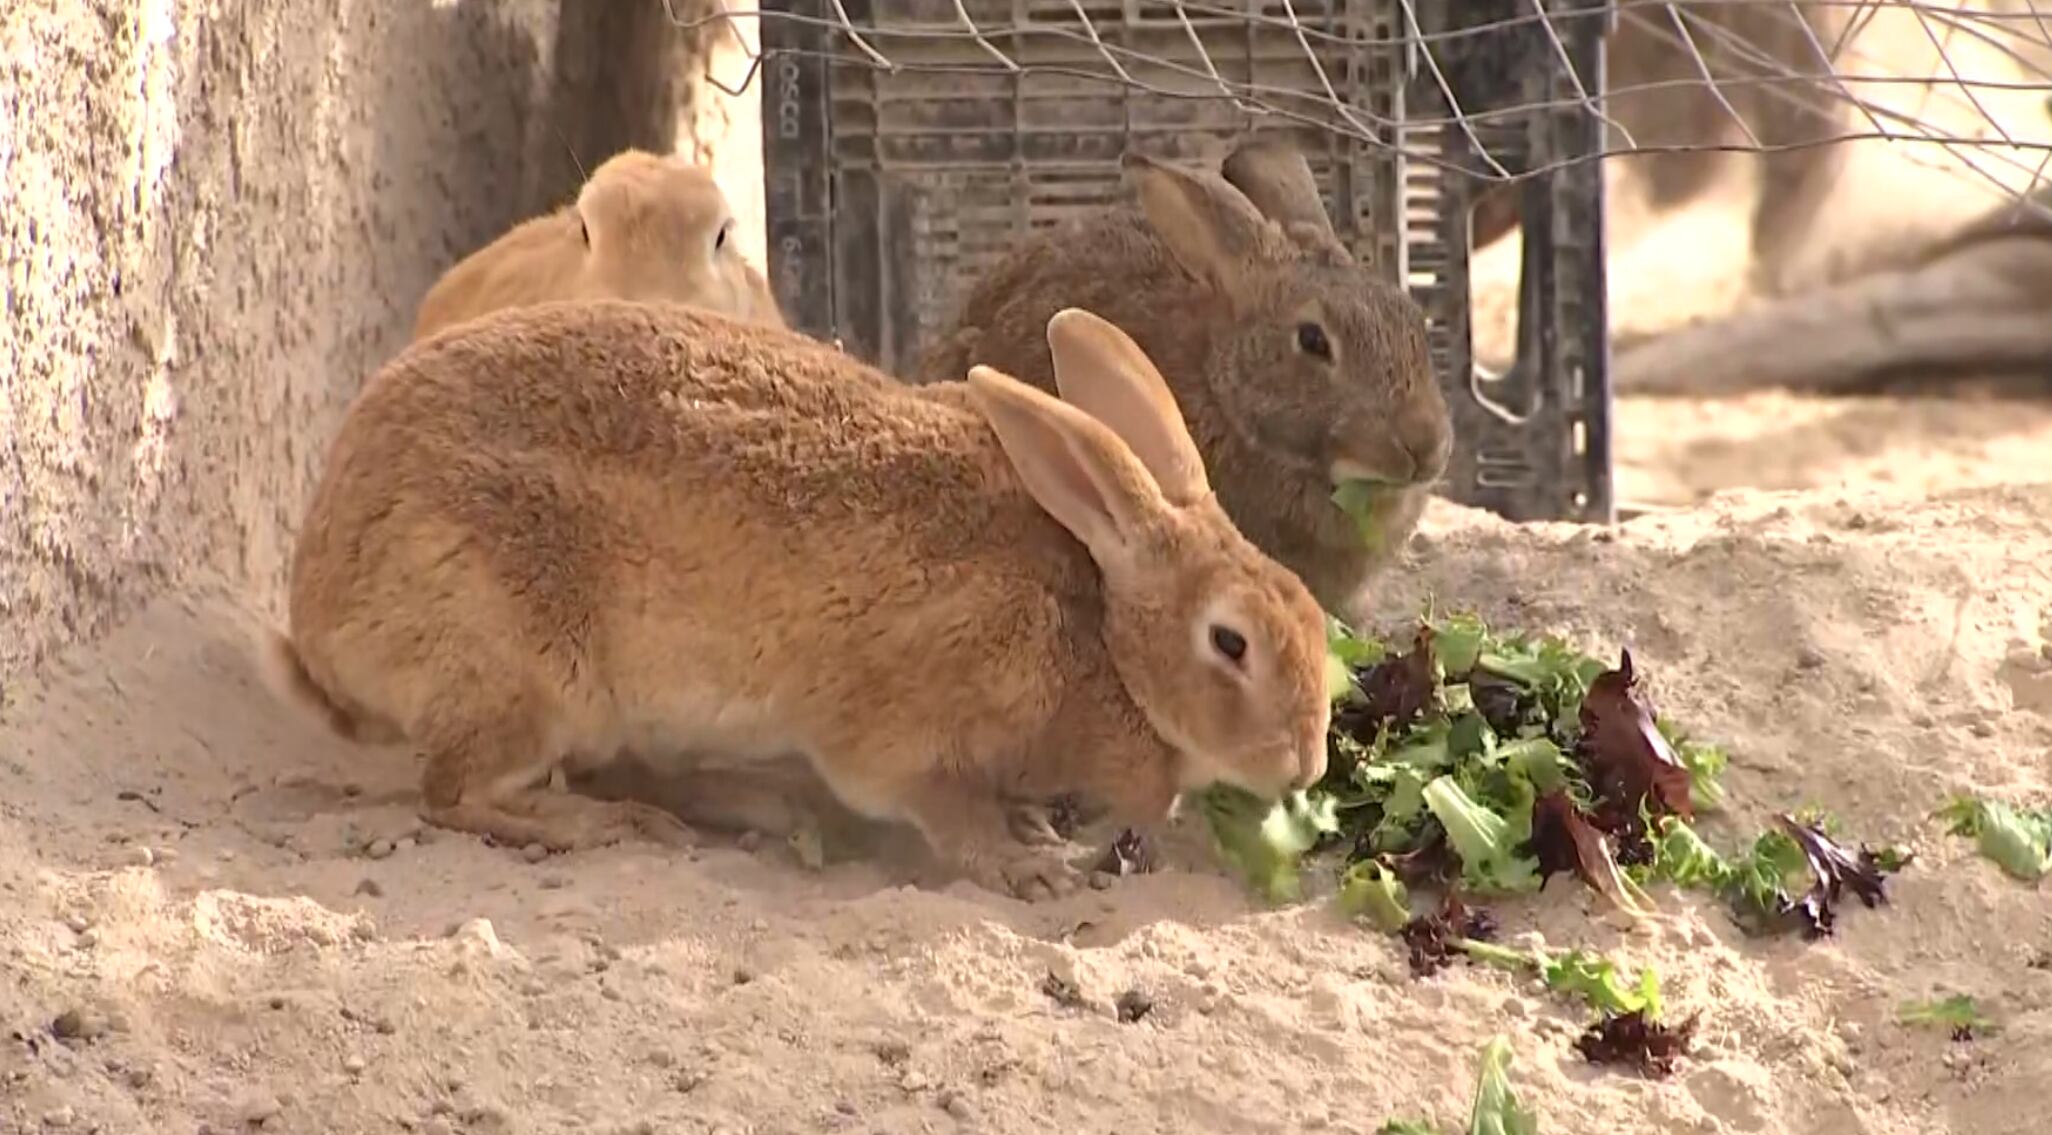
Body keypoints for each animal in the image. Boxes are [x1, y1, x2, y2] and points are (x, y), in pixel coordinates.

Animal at [261, 298, 1332, 899]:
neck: (1100, 629)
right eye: (1231, 643)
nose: (1306, 764)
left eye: (1315, 618)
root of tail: (320, 609)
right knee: (457, 793)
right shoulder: (905, 726)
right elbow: (937, 806)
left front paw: (1032, 832)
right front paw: (1023, 863)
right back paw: (616, 829)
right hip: (529, 673)